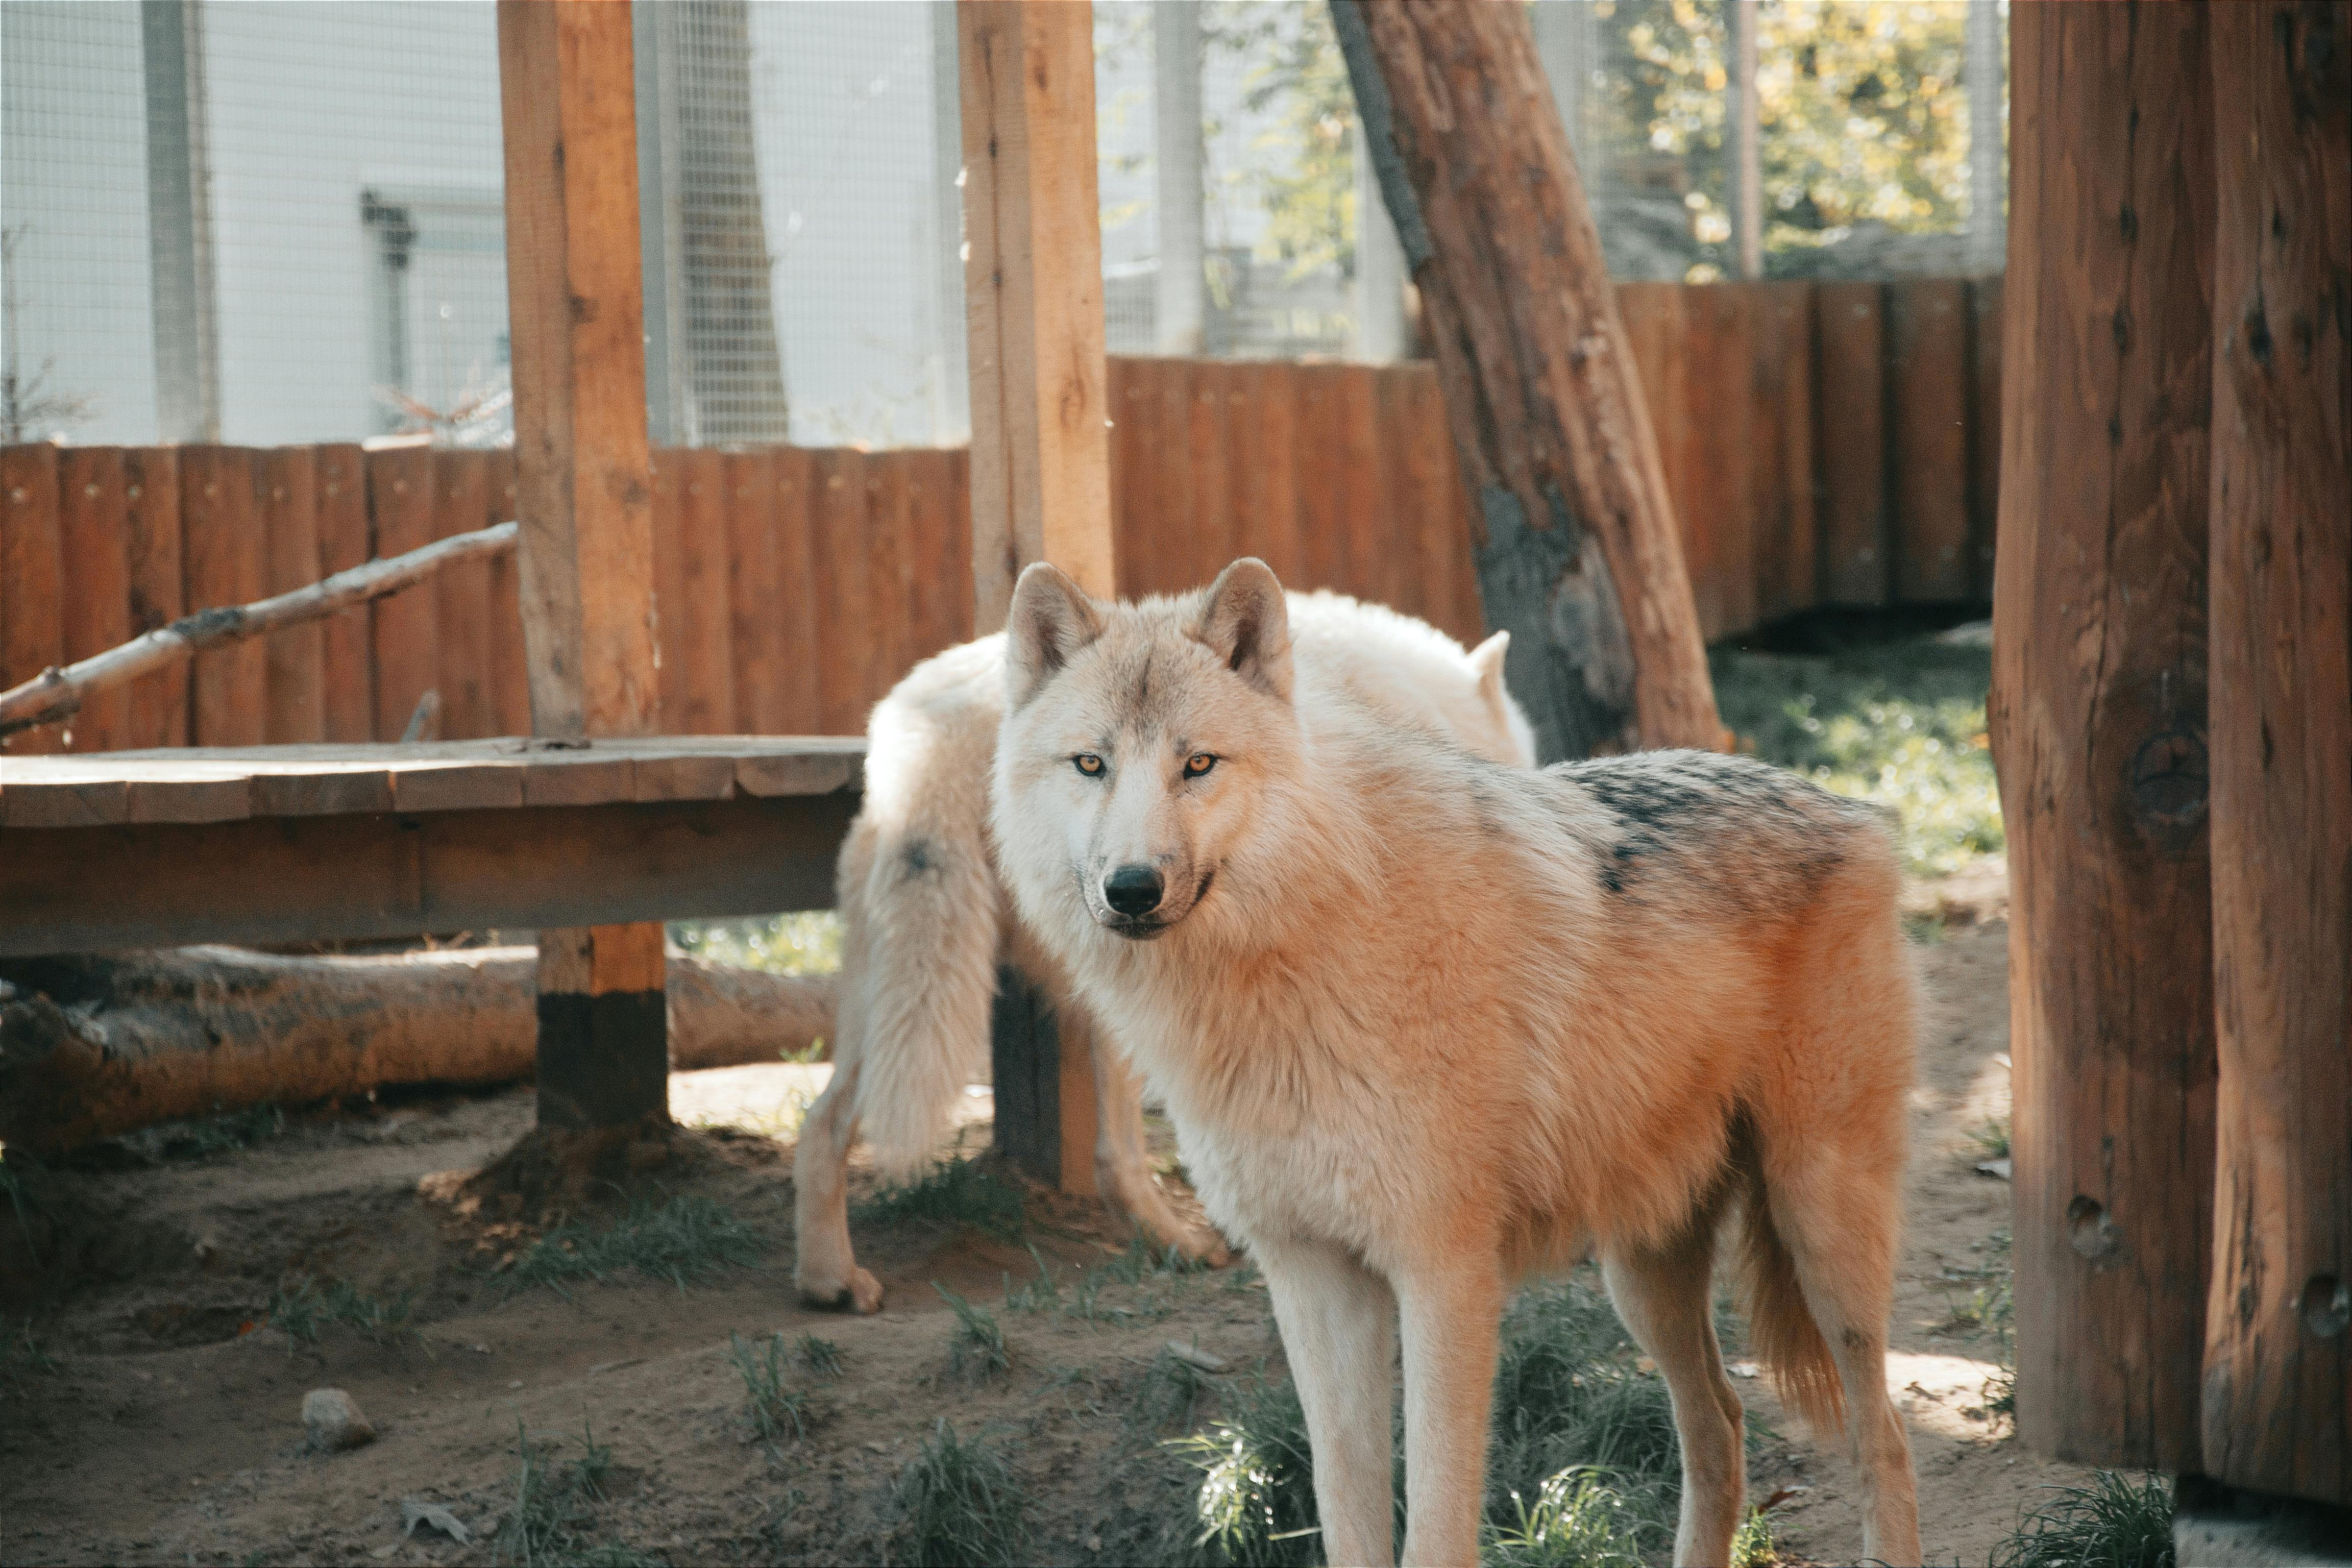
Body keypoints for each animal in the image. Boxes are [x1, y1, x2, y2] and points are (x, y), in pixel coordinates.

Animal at [791, 589, 1538, 1315]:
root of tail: (933, 729)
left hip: (904, 989)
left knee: (825, 1121)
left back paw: (830, 1281)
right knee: (1116, 1152)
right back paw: (1183, 1241)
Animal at [989, 558, 1925, 1568]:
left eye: (1197, 764)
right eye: (1091, 764)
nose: (1131, 889)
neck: (1299, 953)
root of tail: (1845, 804)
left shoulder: (1443, 1275)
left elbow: (1435, 1521)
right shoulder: (1311, 1279)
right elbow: (1348, 1511)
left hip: (1819, 1223)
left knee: (1882, 1437)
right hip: (1641, 1277)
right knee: (1720, 1425)